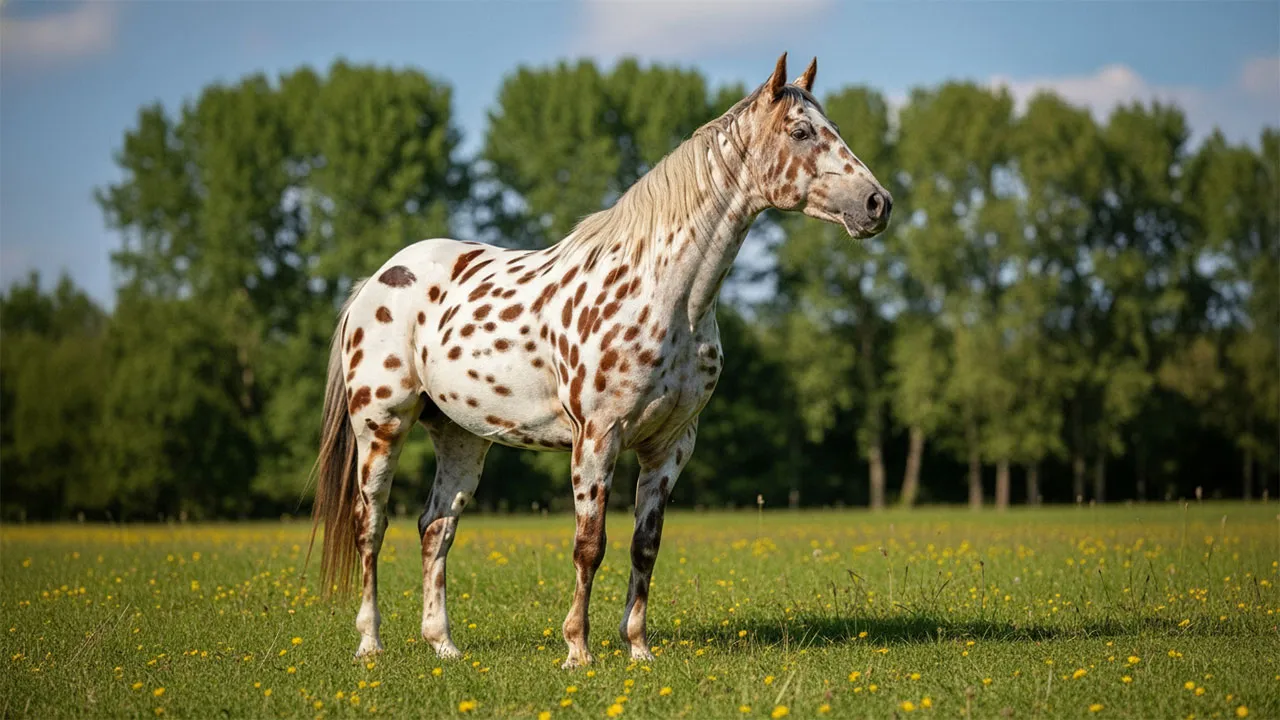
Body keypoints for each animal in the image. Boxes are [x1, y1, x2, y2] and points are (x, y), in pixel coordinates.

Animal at [306, 52, 892, 668]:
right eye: (801, 132)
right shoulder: (597, 437)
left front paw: (638, 648)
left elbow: (644, 545)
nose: (878, 204)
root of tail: (376, 280)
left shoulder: (671, 445)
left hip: (461, 436)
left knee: (434, 527)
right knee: (371, 526)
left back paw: (443, 644)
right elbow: (590, 546)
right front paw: (577, 651)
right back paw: (369, 643)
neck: (668, 295)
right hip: (381, 428)